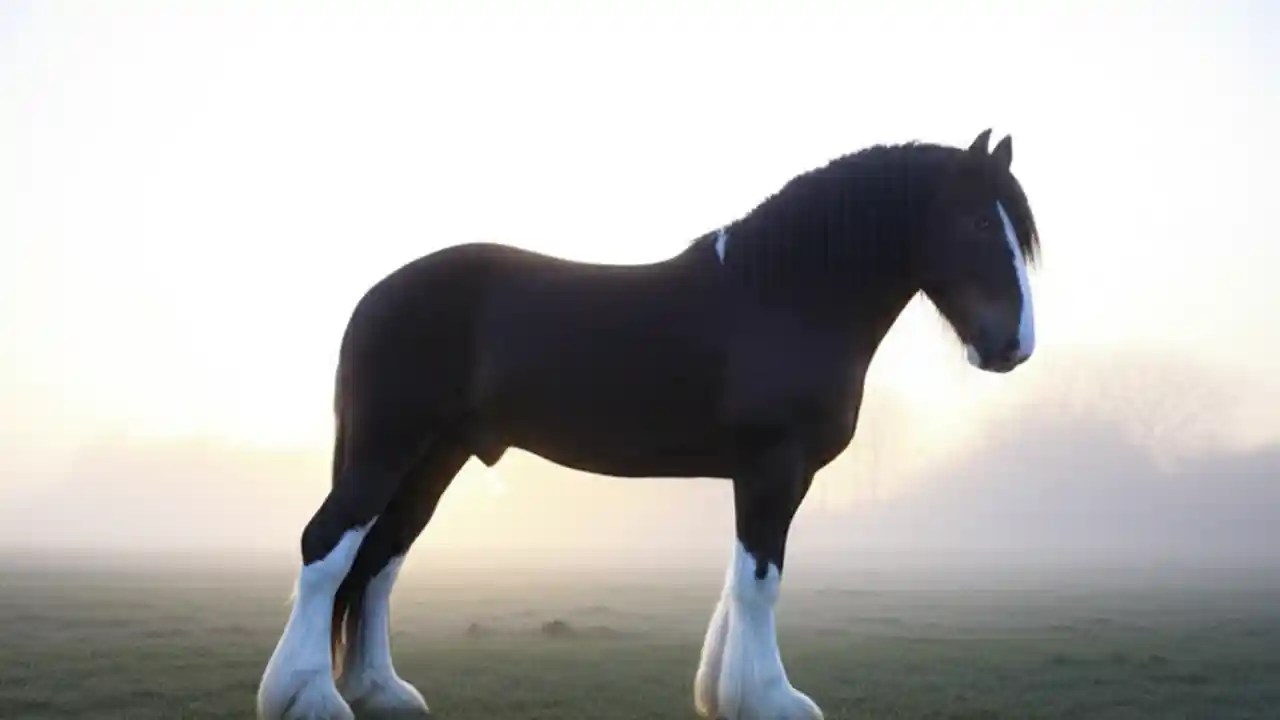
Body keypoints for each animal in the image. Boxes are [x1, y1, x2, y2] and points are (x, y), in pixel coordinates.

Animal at [256, 128, 1040, 720]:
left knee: (379, 562)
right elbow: (760, 581)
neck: (782, 297)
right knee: (328, 548)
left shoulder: (764, 476)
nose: (1014, 345)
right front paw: (771, 699)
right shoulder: (773, 466)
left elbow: (740, 577)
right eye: (976, 221)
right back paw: (309, 698)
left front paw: (728, 694)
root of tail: (378, 294)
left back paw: (381, 691)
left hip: (433, 459)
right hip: (386, 447)